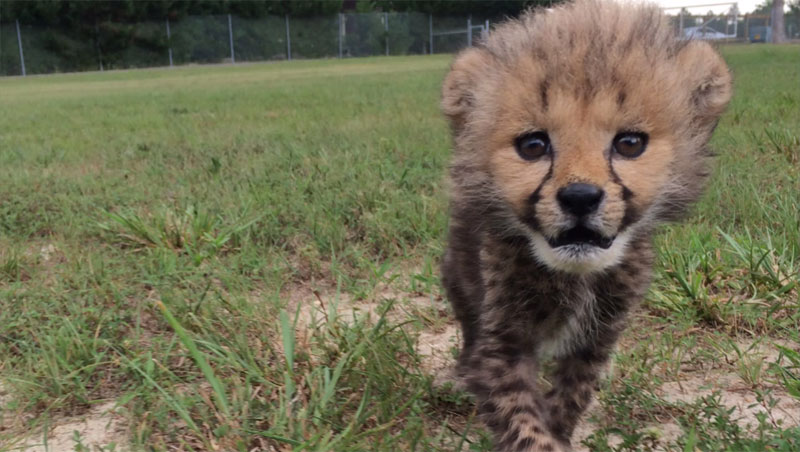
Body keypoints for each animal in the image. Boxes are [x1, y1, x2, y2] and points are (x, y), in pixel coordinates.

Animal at [439, 1, 732, 450]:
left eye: (630, 143)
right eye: (533, 145)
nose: (579, 197)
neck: (574, 276)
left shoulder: (597, 338)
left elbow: (573, 395)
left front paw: (561, 428)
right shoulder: (501, 346)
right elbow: (525, 426)